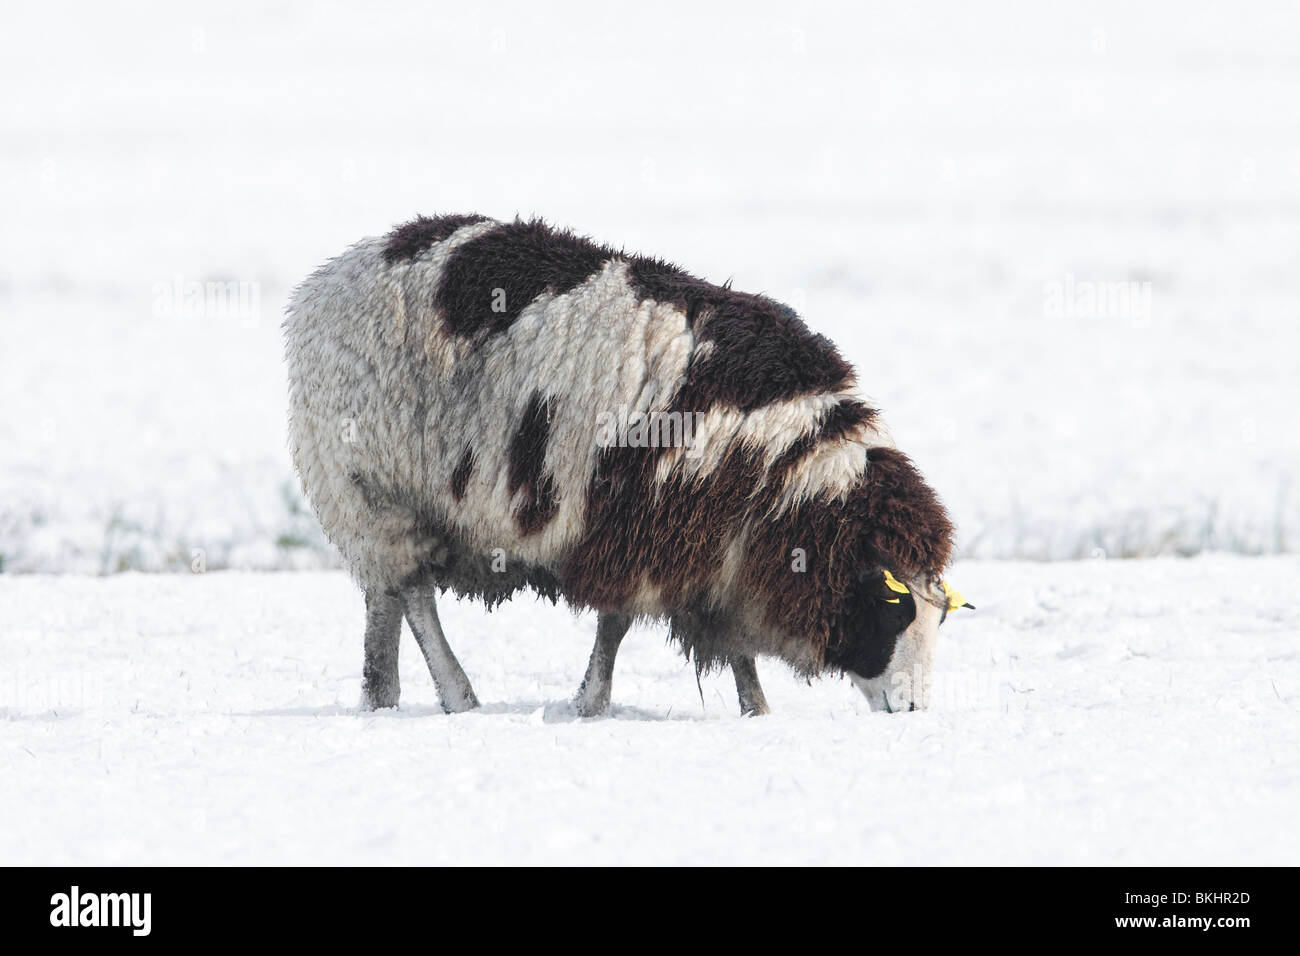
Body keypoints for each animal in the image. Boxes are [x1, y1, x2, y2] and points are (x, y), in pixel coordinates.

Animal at [284, 213, 964, 717]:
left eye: (941, 615)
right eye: (893, 607)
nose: (913, 711)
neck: (788, 469)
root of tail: (323, 281)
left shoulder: (718, 554)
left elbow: (732, 645)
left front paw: (757, 711)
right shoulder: (641, 532)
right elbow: (613, 629)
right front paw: (590, 704)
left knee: (383, 606)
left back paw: (381, 699)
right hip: (377, 493)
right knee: (415, 599)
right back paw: (458, 697)